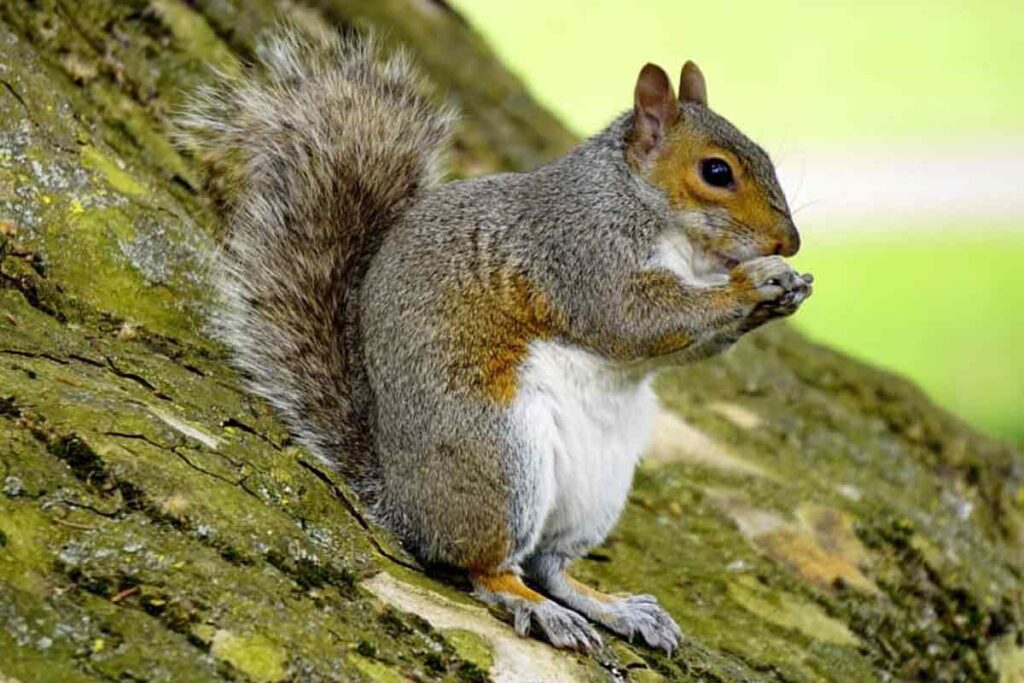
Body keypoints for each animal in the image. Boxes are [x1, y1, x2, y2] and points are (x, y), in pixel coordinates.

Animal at [178, 29, 812, 654]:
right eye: (716, 172)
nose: (791, 241)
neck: (641, 204)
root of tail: (402, 504)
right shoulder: (580, 256)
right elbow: (635, 319)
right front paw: (754, 282)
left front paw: (782, 288)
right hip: (501, 457)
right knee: (488, 568)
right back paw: (536, 608)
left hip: (596, 491)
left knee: (550, 565)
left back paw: (613, 607)